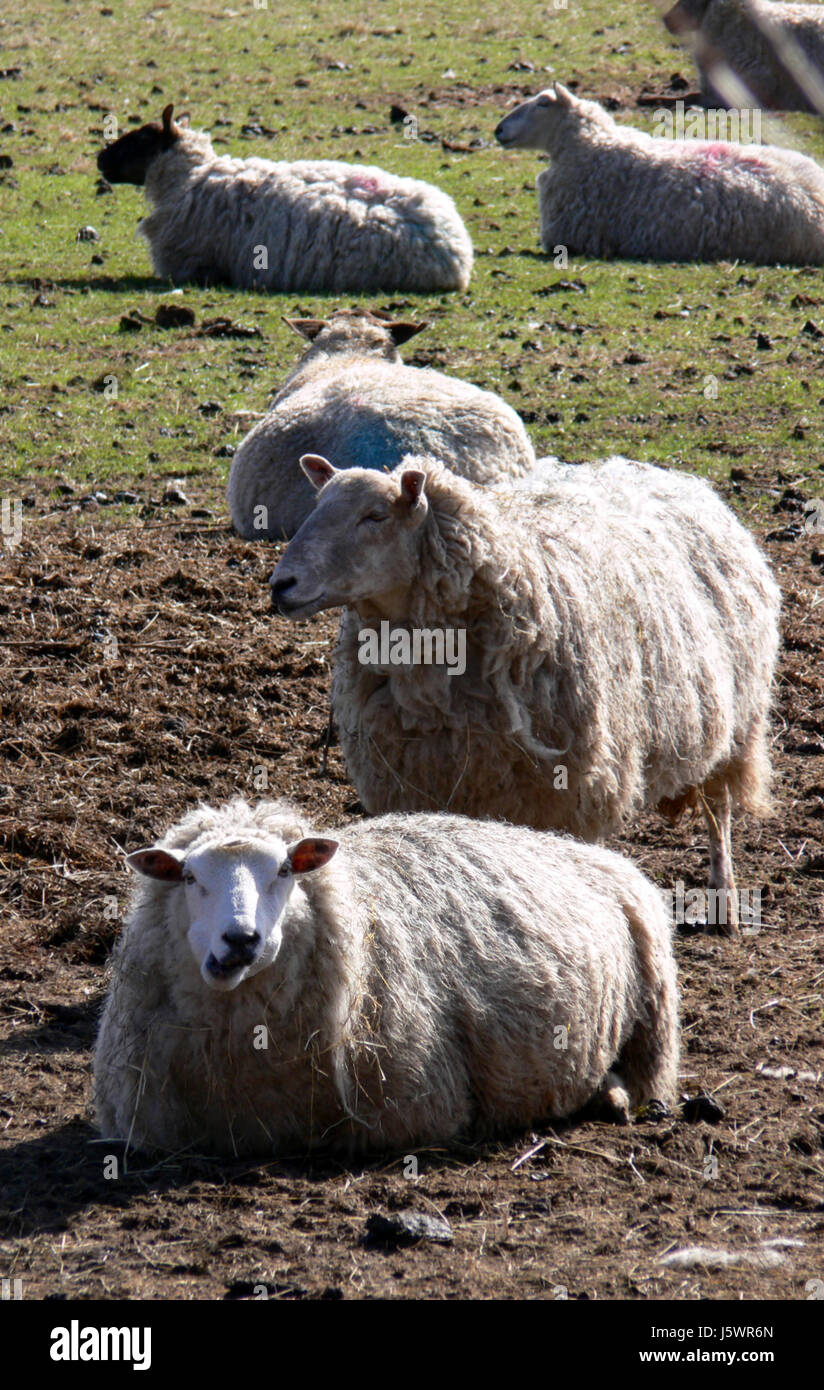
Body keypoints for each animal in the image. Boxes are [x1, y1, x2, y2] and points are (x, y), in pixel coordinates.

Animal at [93, 797, 679, 1157]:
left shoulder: (414, 1111)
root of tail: (579, 848)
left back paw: (615, 1098)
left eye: (283, 870)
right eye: (189, 877)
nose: (240, 941)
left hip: (652, 1022)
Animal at [269, 453, 781, 937]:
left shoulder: (565, 792)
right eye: (317, 506)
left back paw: (724, 903)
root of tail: (675, 477)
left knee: (719, 810)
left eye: (375, 516)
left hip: (737, 719)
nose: (281, 585)